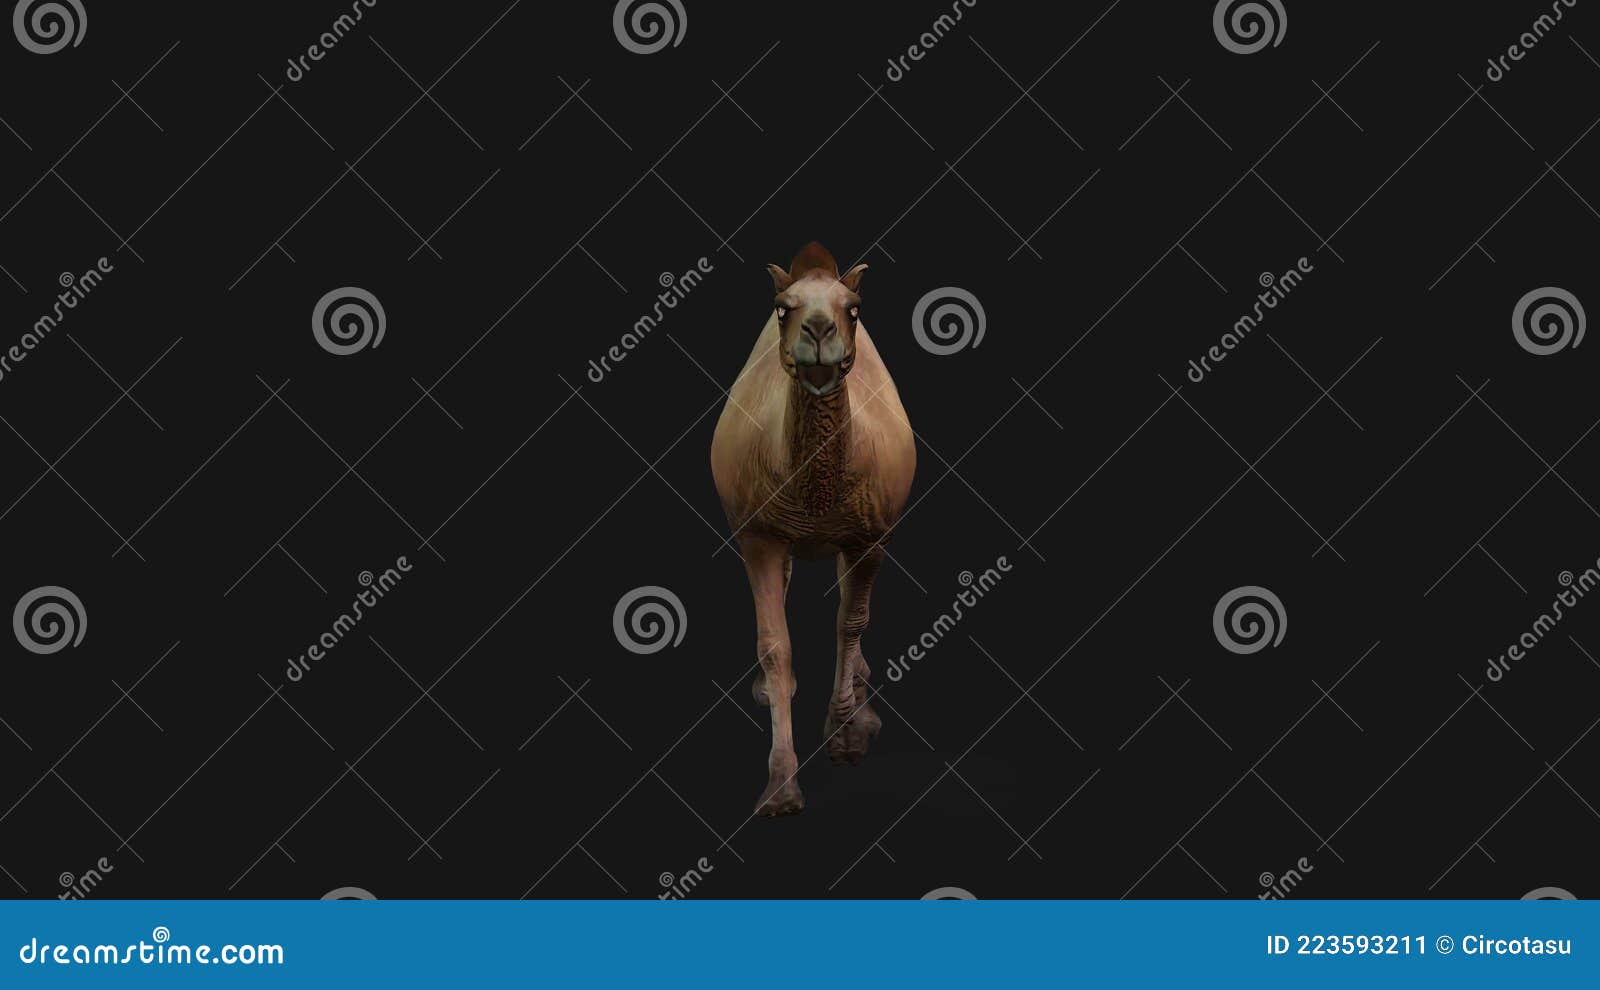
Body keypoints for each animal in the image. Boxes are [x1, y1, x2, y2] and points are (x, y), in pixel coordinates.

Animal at [710, 242, 916, 817]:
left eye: (854, 308)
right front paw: (781, 785)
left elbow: (851, 622)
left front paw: (846, 735)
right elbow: (775, 644)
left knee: (851, 602)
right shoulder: (758, 533)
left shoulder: (870, 534)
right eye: (782, 308)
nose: (820, 330)